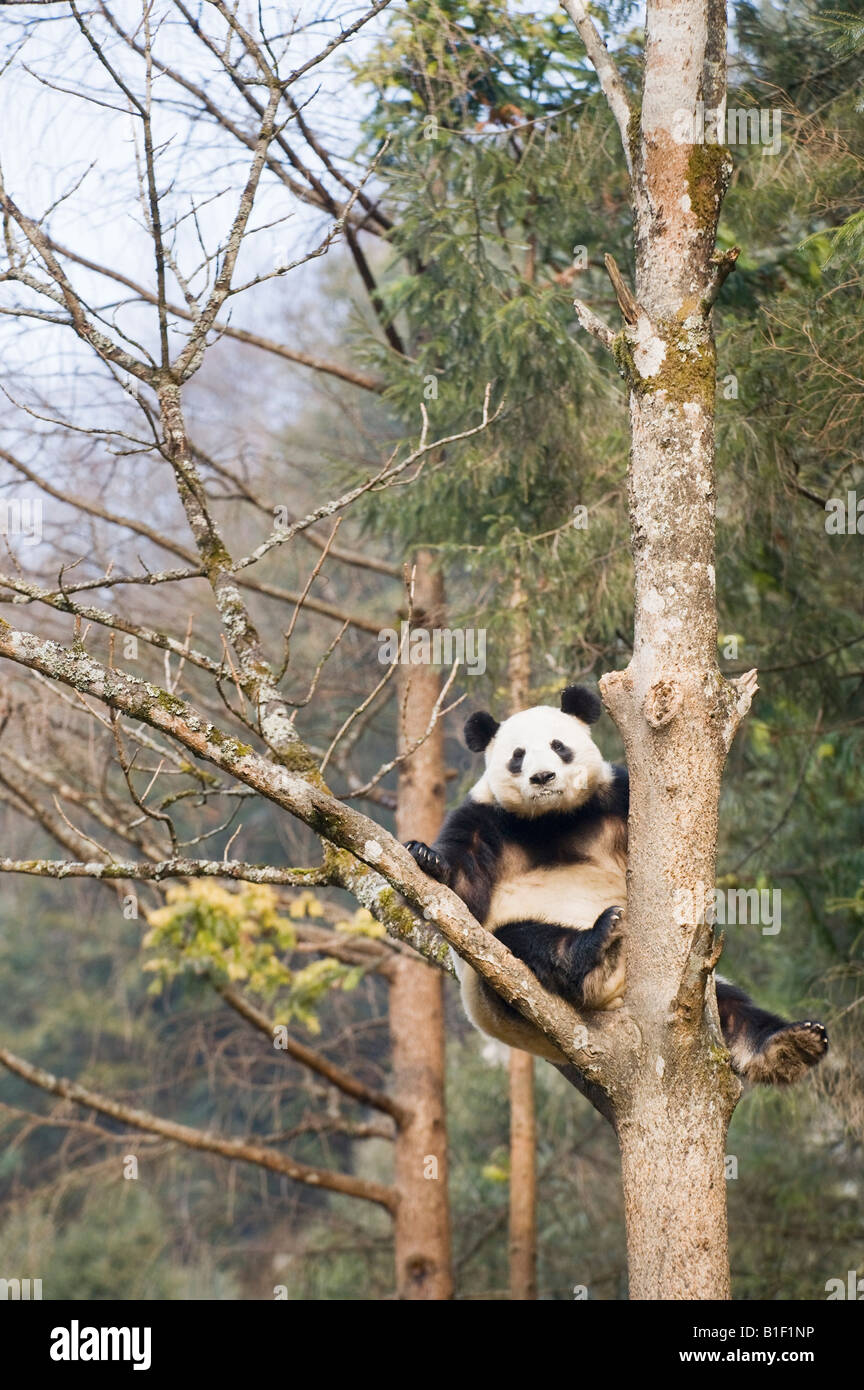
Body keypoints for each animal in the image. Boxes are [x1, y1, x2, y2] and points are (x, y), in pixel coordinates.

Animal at [406, 684, 829, 1086]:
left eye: (559, 746)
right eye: (518, 755)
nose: (542, 777)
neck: (551, 820)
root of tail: (616, 1001)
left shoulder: (614, 798)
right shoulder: (486, 816)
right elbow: (463, 891)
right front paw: (426, 857)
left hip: (703, 994)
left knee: (735, 1011)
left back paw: (792, 1045)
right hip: (494, 982)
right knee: (524, 943)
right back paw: (596, 943)